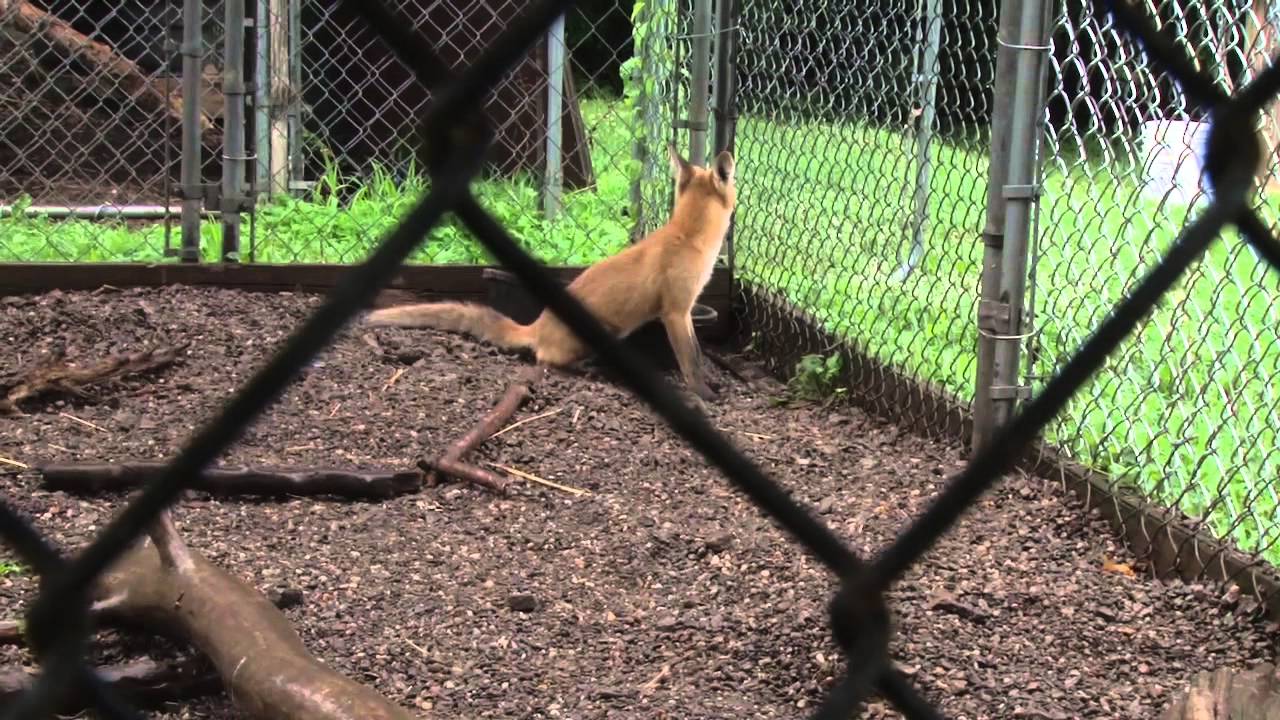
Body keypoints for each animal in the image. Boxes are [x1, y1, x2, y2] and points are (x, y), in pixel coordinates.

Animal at [362, 143, 737, 401]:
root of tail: (536, 325)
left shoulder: (684, 312)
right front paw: (704, 394)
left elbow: (697, 353)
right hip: (597, 335)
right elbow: (691, 360)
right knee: (546, 359)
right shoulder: (675, 312)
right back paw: (587, 369)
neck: (688, 236)